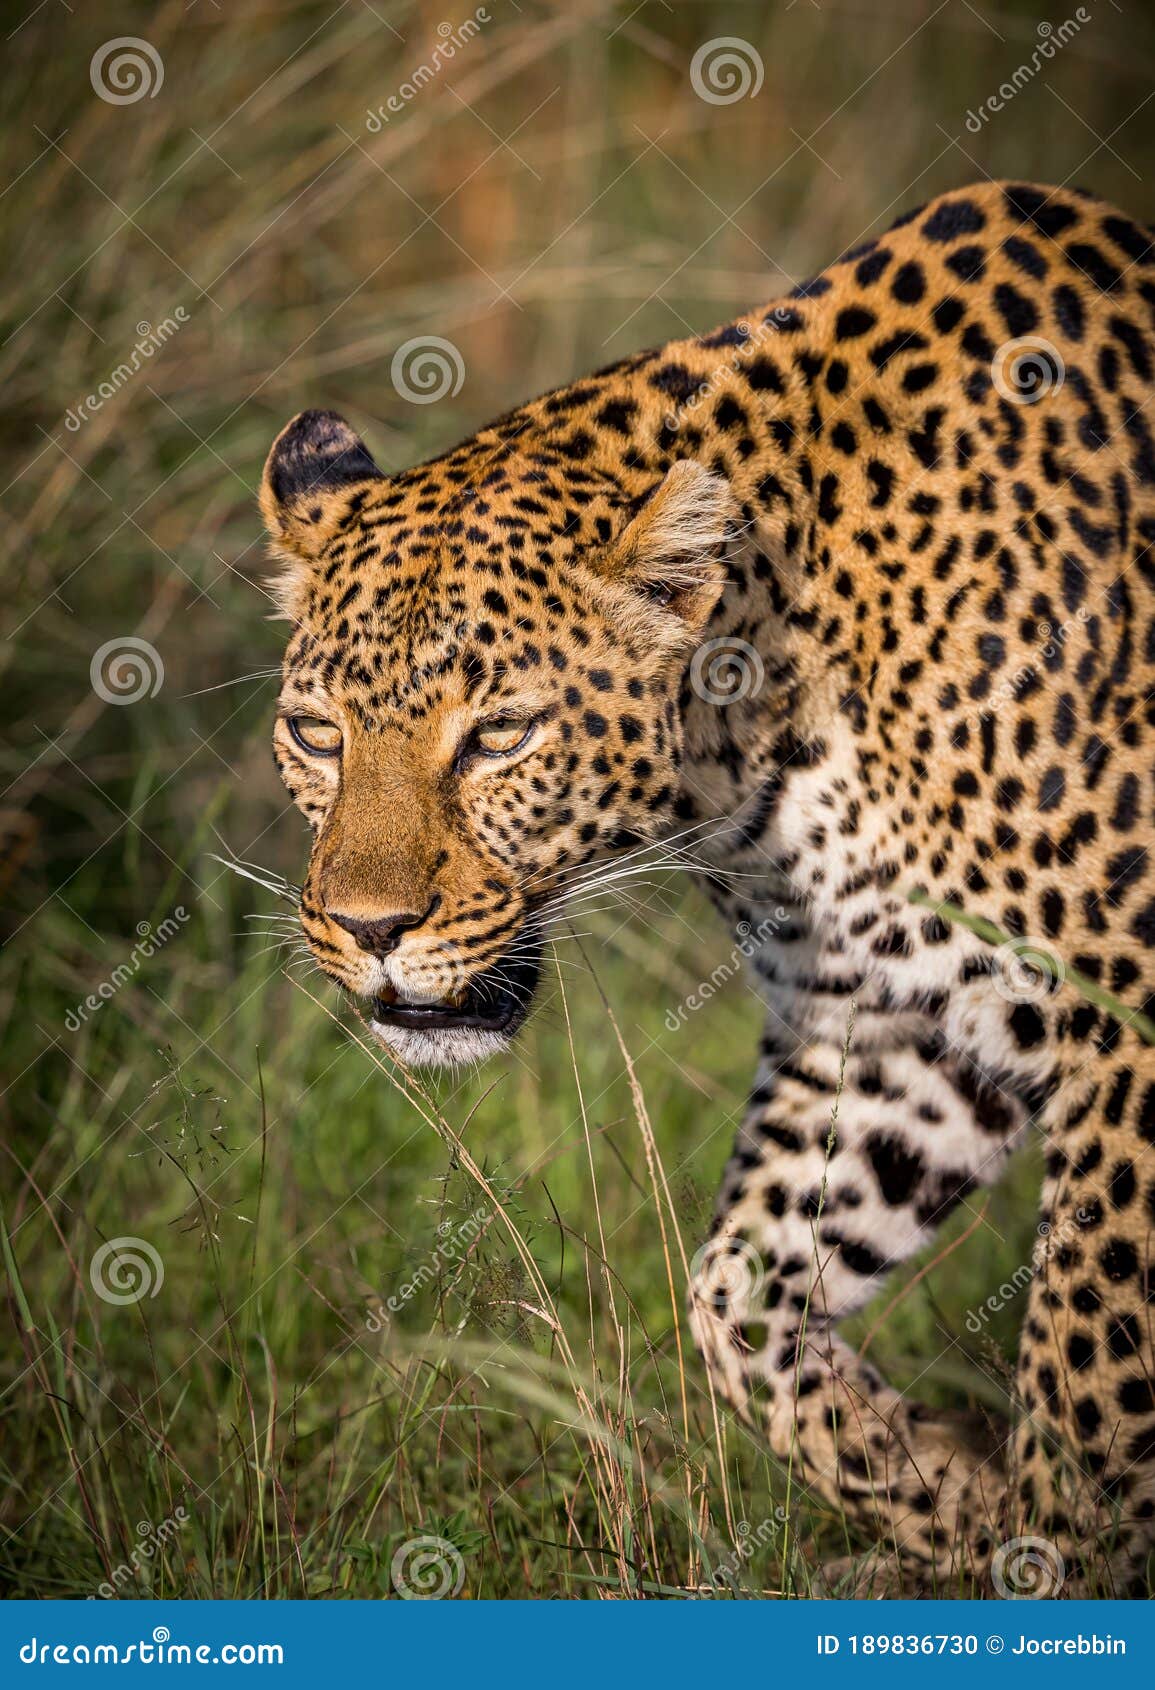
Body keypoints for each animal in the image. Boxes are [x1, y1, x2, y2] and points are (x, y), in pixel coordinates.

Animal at [261, 179, 1155, 1595]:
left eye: (500, 735)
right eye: (315, 733)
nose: (368, 928)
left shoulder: (1126, 1026)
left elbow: (1090, 1359)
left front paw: (1075, 1545)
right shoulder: (885, 1016)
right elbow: (734, 1290)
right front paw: (959, 1497)